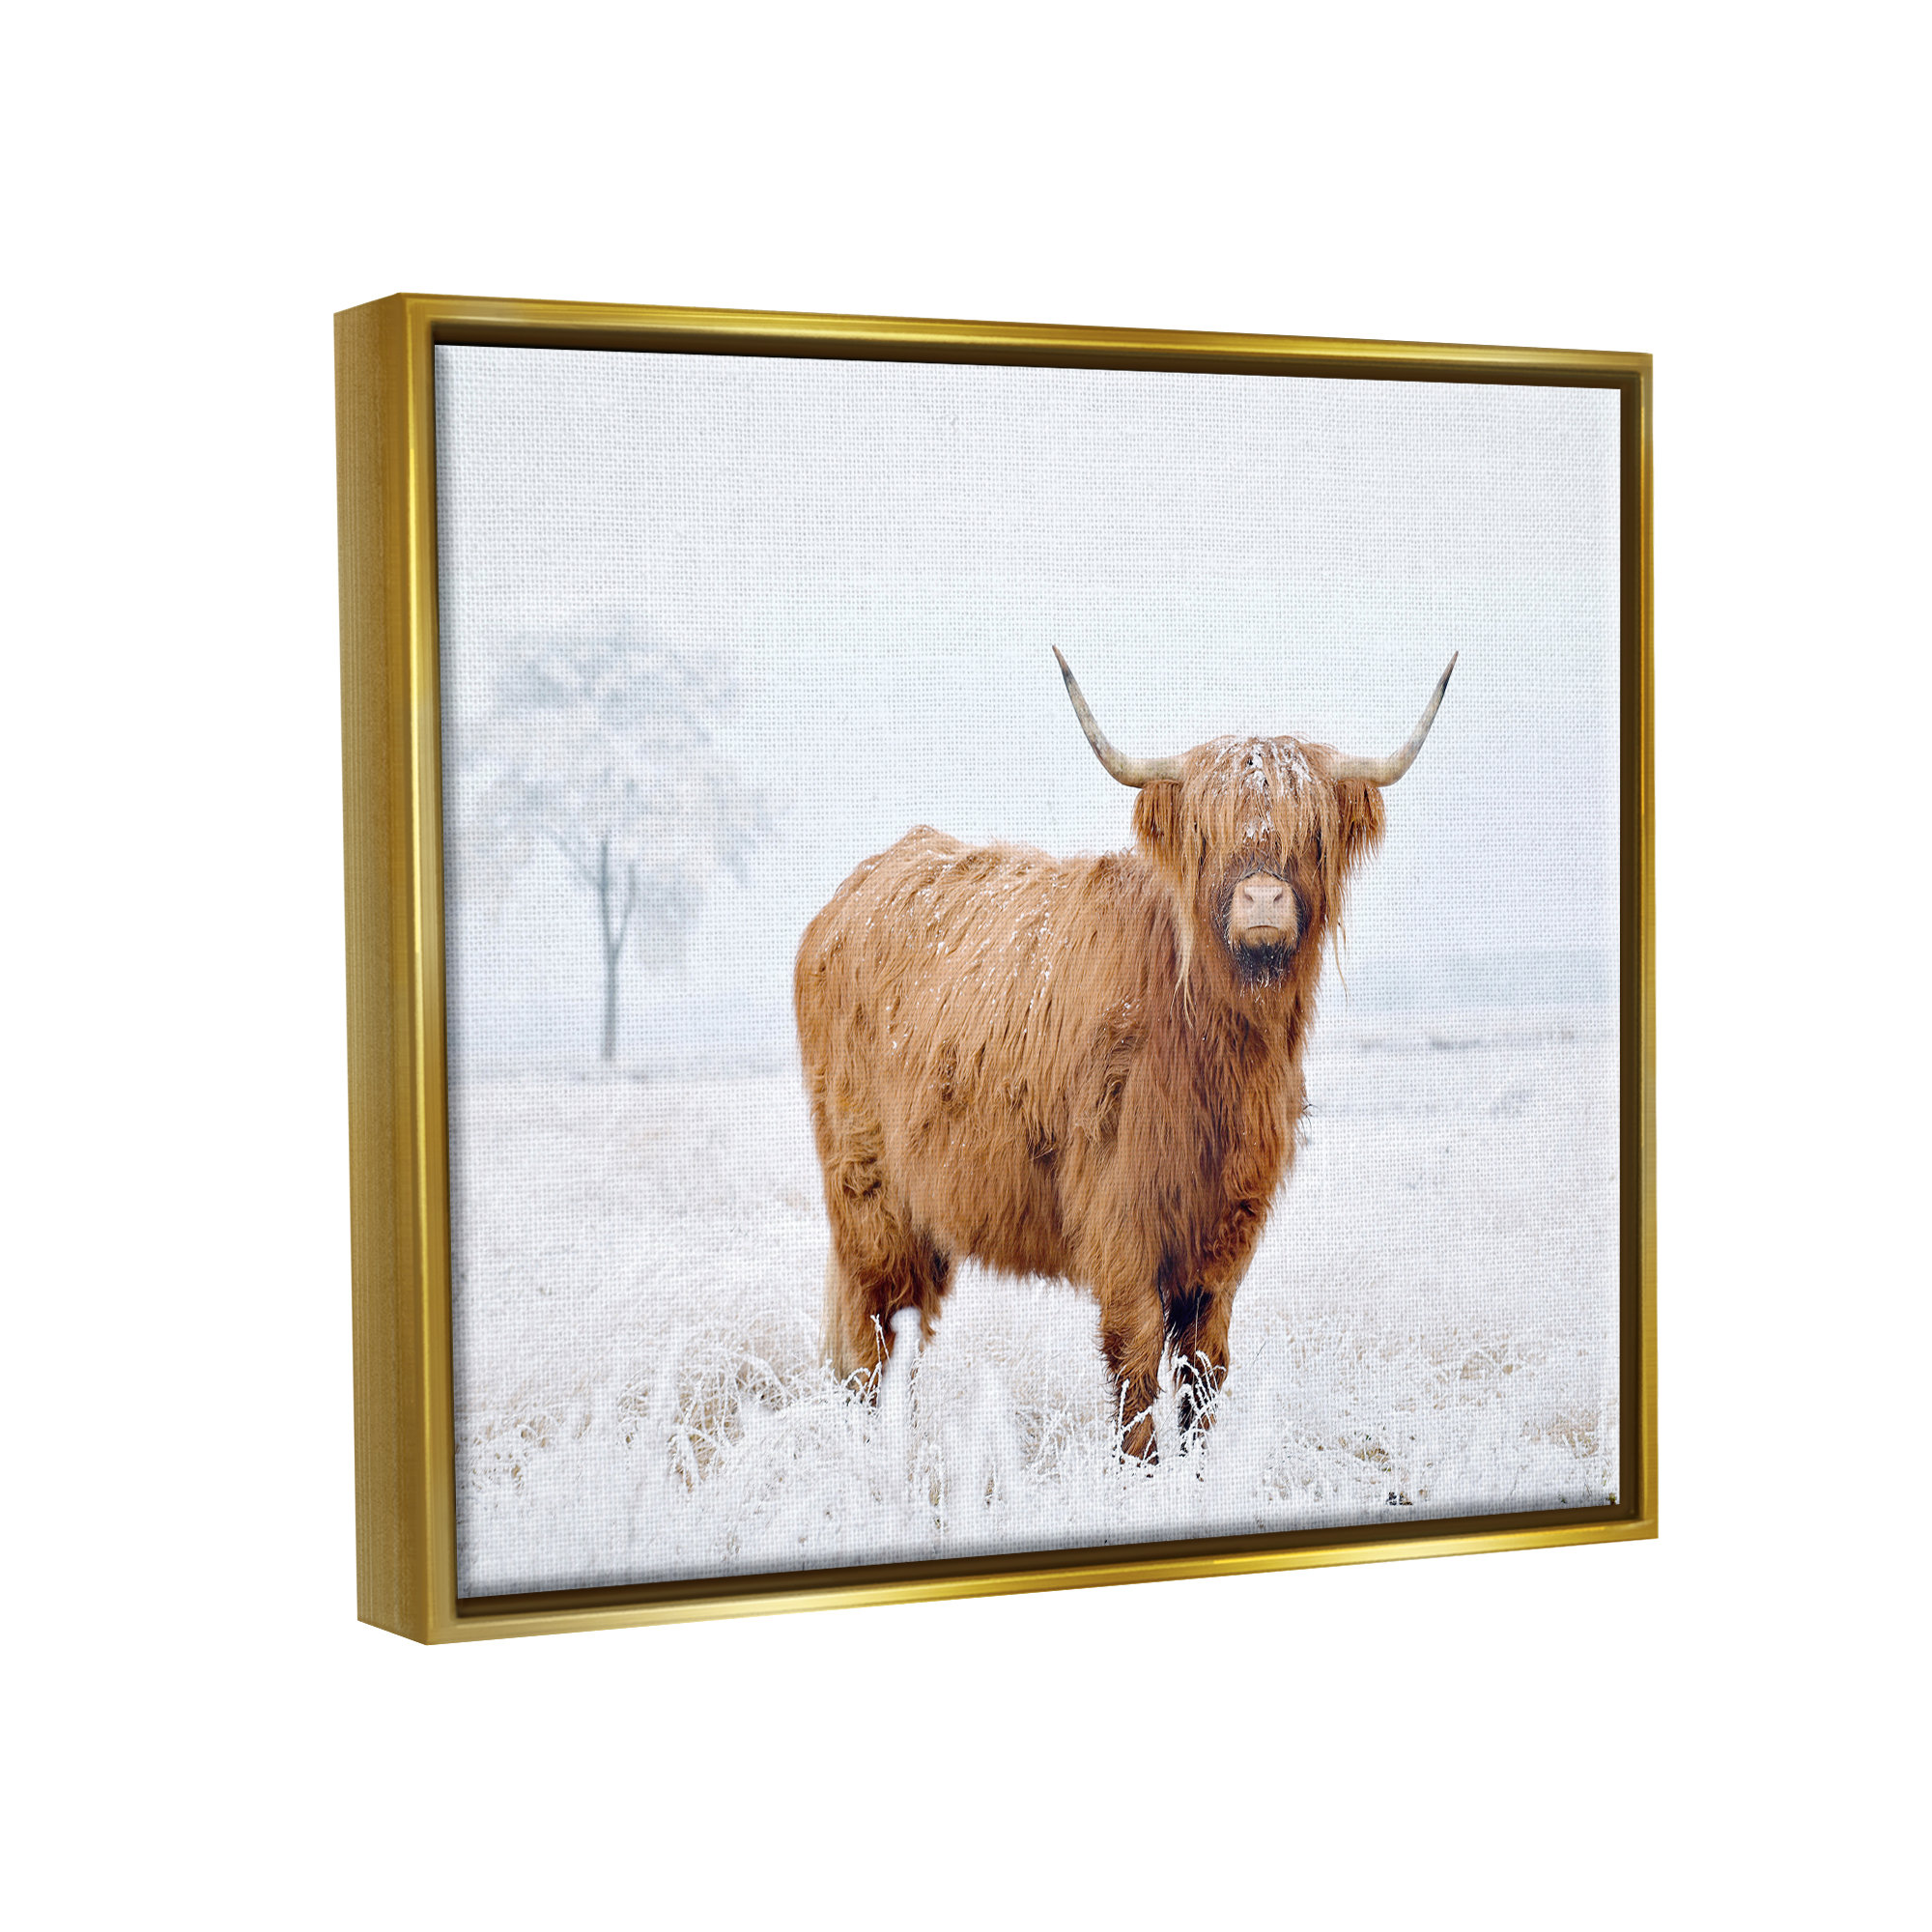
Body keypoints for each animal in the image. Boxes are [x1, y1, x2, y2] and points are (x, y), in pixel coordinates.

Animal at [793, 650, 1456, 1458]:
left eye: (1311, 834)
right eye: (1206, 834)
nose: (1263, 902)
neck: (1215, 1054)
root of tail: (857, 887)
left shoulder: (1225, 1234)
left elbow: (1203, 1373)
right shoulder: (1120, 1219)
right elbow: (1135, 1372)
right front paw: (1139, 1473)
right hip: (868, 1193)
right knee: (872, 1338)